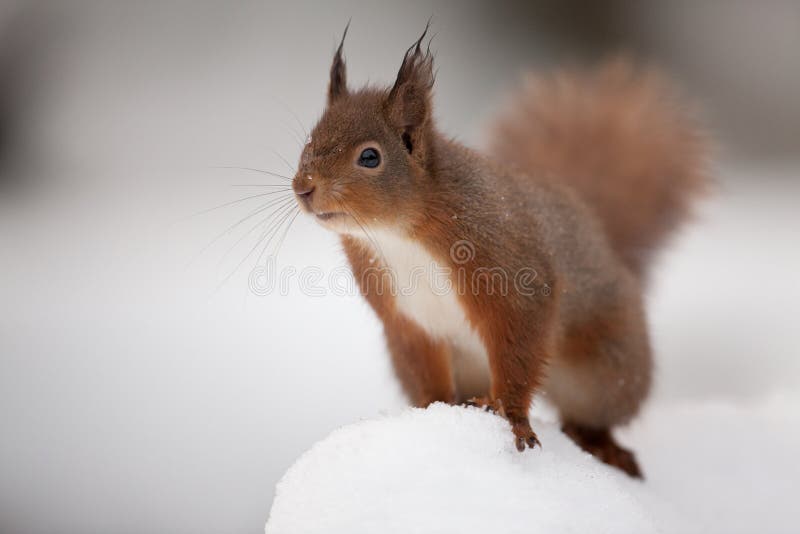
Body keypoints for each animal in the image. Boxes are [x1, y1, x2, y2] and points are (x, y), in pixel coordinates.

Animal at [291, 25, 708, 478]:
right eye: (309, 141)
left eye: (370, 157)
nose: (304, 187)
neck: (396, 235)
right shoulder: (407, 320)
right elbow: (428, 371)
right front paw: (433, 410)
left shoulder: (509, 273)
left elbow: (518, 351)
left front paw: (511, 417)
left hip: (605, 369)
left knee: (591, 414)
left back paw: (603, 445)